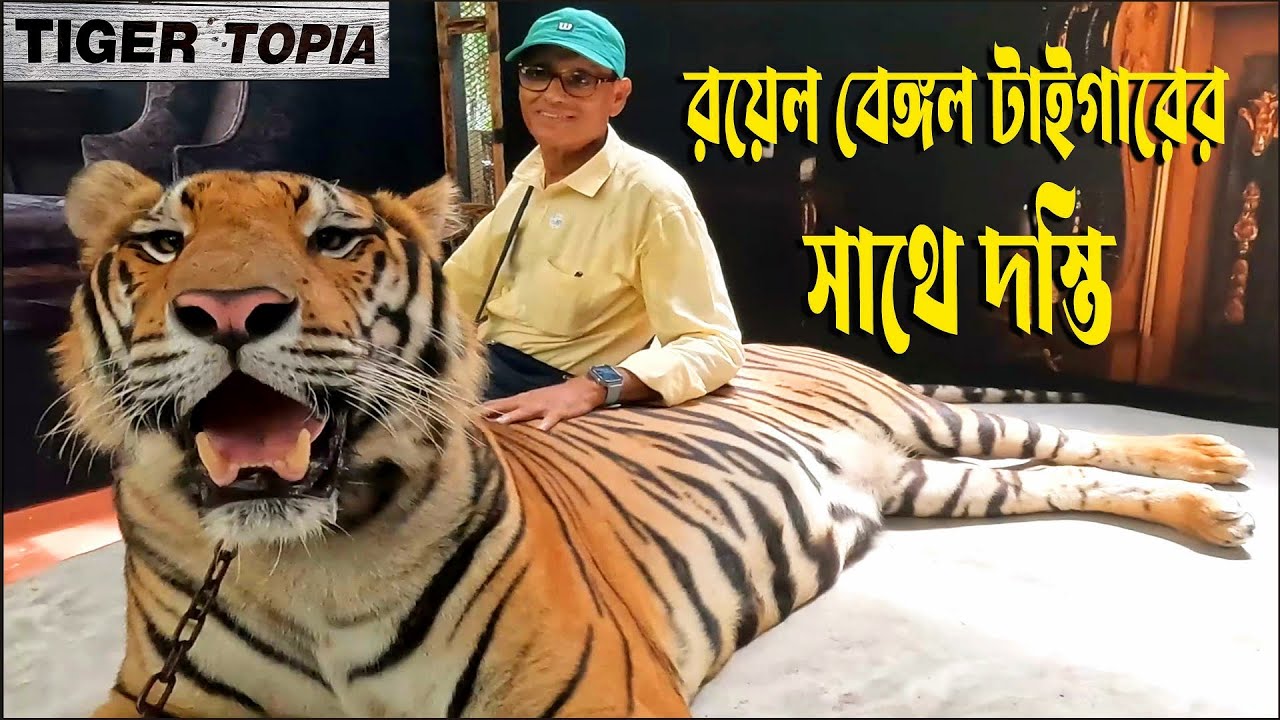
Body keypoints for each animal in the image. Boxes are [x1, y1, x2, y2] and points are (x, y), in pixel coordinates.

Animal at [51, 160, 1254, 718]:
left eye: (335, 238)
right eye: (161, 244)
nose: (232, 309)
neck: (303, 560)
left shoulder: (585, 688)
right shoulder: (157, 690)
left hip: (946, 422)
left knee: (1069, 442)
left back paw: (1214, 468)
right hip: (931, 481)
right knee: (1063, 480)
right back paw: (1209, 511)